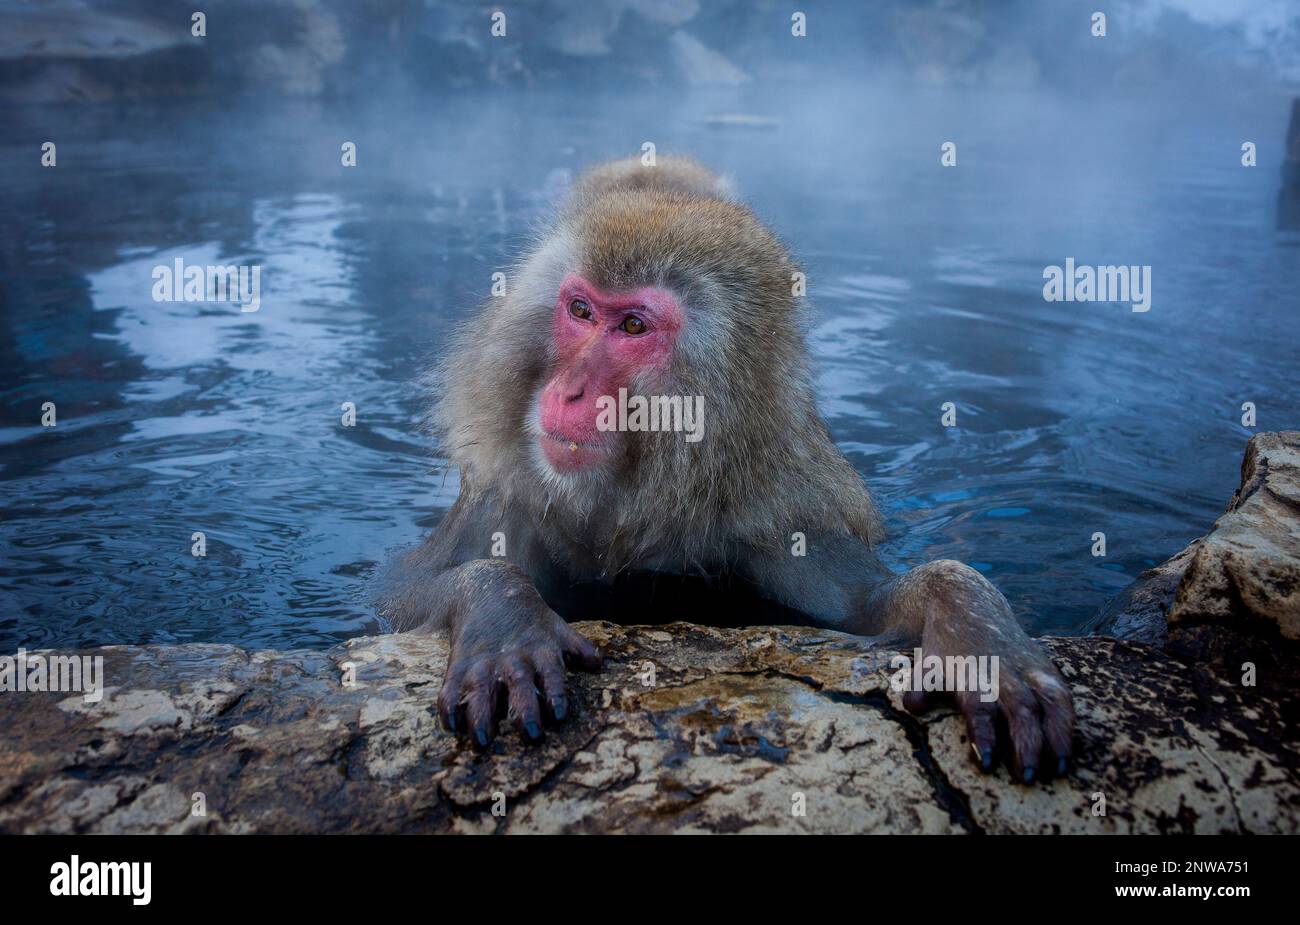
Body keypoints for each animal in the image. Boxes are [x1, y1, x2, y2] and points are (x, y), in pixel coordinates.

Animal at [384, 155, 1074, 783]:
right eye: (580, 311)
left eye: (632, 324)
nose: (570, 391)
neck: (634, 492)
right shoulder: (507, 497)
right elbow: (406, 594)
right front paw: (502, 614)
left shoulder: (774, 517)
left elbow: (865, 607)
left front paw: (977, 630)